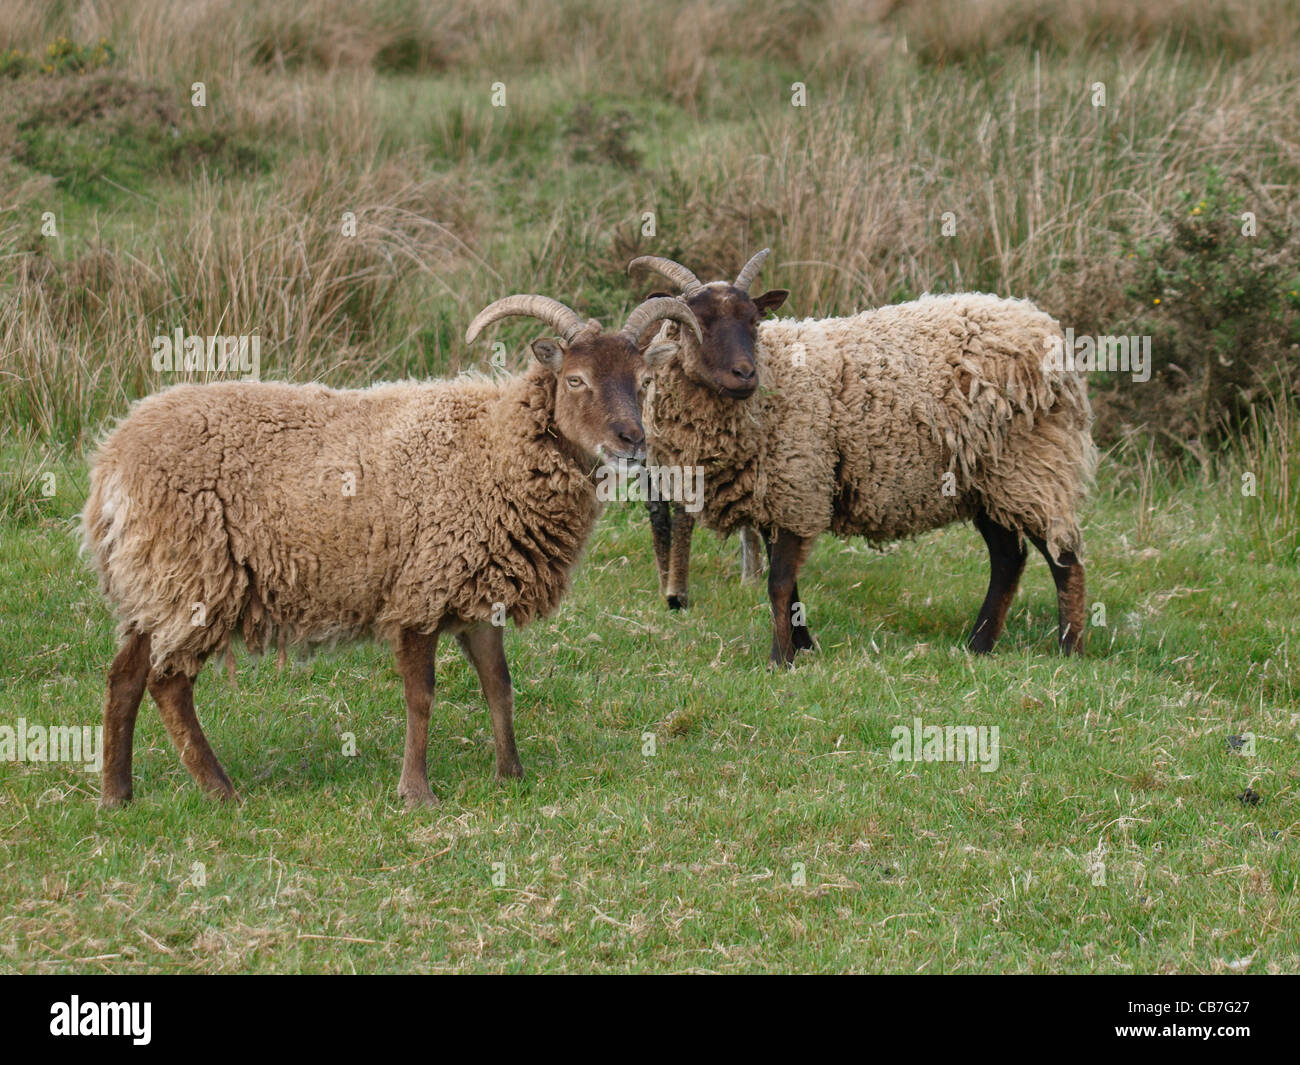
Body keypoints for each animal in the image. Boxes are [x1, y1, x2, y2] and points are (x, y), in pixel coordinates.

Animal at [82, 293, 700, 807]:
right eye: (574, 380)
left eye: (643, 380)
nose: (631, 440)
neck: (492, 444)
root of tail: (111, 462)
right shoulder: (421, 592)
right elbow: (421, 697)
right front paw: (417, 792)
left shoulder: (481, 593)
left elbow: (499, 686)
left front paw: (511, 774)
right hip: (197, 577)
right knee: (168, 683)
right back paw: (220, 790)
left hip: (156, 580)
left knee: (125, 676)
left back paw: (117, 794)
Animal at [629, 251, 1096, 666]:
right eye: (697, 326)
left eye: (753, 321)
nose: (745, 374)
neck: (774, 384)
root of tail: (1046, 328)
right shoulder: (778, 497)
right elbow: (790, 586)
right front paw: (804, 647)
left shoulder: (800, 484)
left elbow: (779, 583)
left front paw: (780, 660)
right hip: (984, 480)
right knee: (1008, 560)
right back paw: (978, 647)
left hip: (1030, 466)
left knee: (1064, 557)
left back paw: (1069, 651)